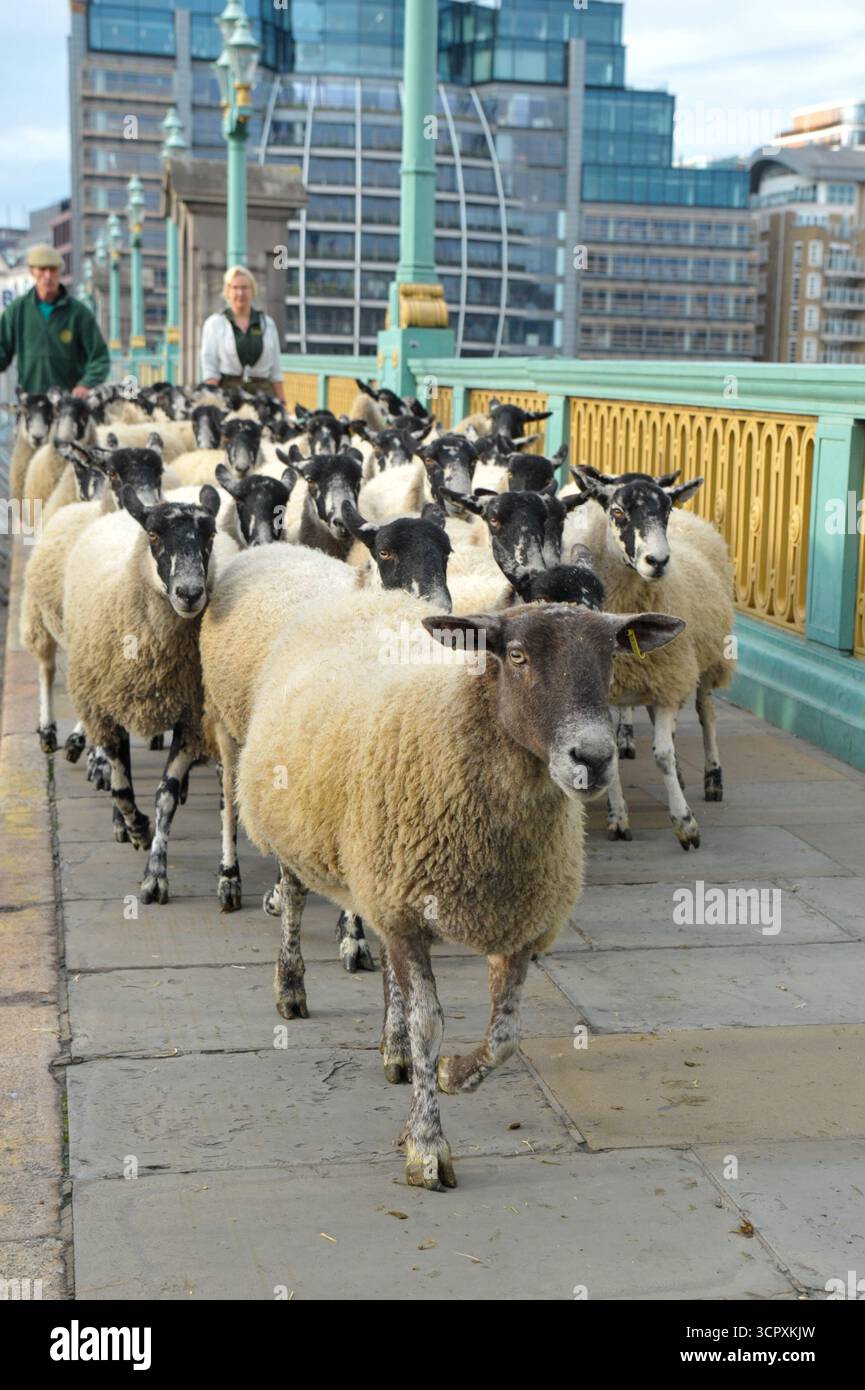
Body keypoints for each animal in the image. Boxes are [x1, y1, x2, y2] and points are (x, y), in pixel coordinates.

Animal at [63, 487, 229, 901]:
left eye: (210, 535)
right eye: (153, 535)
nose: (190, 593)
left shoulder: (191, 717)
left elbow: (165, 796)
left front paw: (155, 875)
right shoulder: (106, 711)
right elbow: (122, 789)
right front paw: (137, 828)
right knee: (117, 775)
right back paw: (123, 823)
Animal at [236, 590, 684, 1189]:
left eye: (611, 655)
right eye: (516, 656)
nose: (592, 759)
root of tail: (369, 593)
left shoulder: (517, 922)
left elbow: (505, 1037)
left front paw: (449, 1074)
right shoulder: (407, 913)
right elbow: (429, 1023)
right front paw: (427, 1148)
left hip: (380, 875)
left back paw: (395, 1050)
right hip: (293, 828)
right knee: (294, 899)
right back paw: (291, 989)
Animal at [571, 471, 735, 848]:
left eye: (666, 511)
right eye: (617, 511)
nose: (658, 562)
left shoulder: (670, 682)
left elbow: (663, 754)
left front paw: (685, 822)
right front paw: (618, 819)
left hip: (705, 662)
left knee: (707, 715)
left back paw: (712, 778)